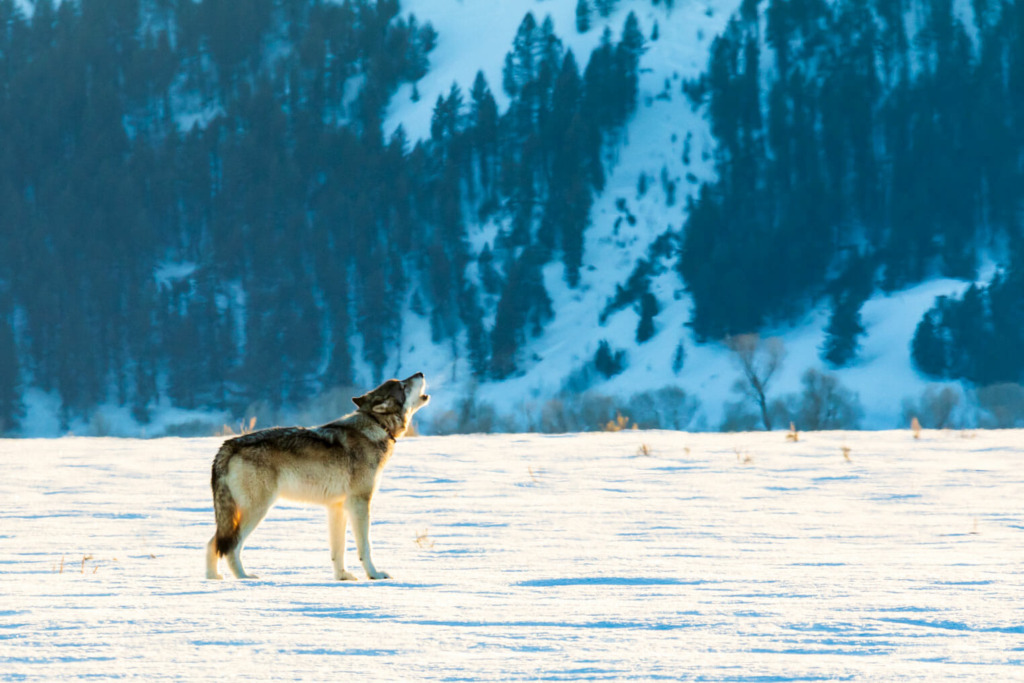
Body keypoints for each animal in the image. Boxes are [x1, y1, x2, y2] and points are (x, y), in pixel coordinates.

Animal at [205, 373, 430, 580]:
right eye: (403, 385)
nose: (420, 373)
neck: (376, 426)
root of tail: (228, 445)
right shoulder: (359, 502)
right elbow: (365, 546)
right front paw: (374, 575)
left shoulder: (337, 507)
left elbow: (338, 550)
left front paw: (342, 577)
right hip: (257, 510)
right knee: (230, 546)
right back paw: (244, 579)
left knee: (212, 542)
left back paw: (212, 579)